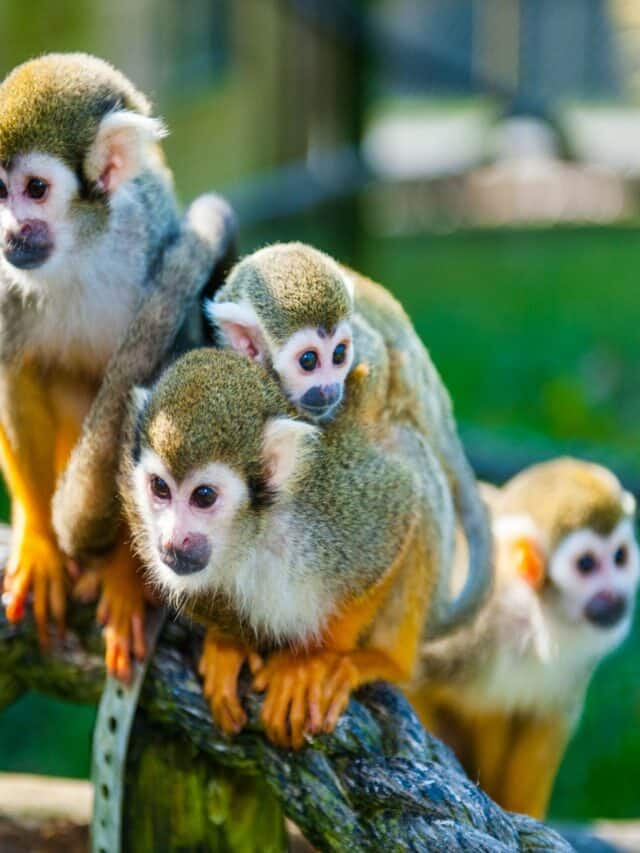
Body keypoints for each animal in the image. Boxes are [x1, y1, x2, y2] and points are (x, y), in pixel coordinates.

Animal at [0, 53, 235, 680]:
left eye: (35, 190)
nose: (8, 234)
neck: (80, 250)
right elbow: (10, 377)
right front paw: (41, 544)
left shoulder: (154, 245)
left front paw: (130, 580)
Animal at [121, 347, 457, 748]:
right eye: (160, 488)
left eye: (203, 496)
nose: (173, 539)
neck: (253, 533)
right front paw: (229, 646)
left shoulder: (335, 511)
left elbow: (404, 499)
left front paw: (313, 660)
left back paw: (386, 660)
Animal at [405, 457, 639, 819]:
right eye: (586, 564)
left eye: (620, 557)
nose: (616, 596)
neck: (536, 620)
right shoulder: (472, 633)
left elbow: (544, 723)